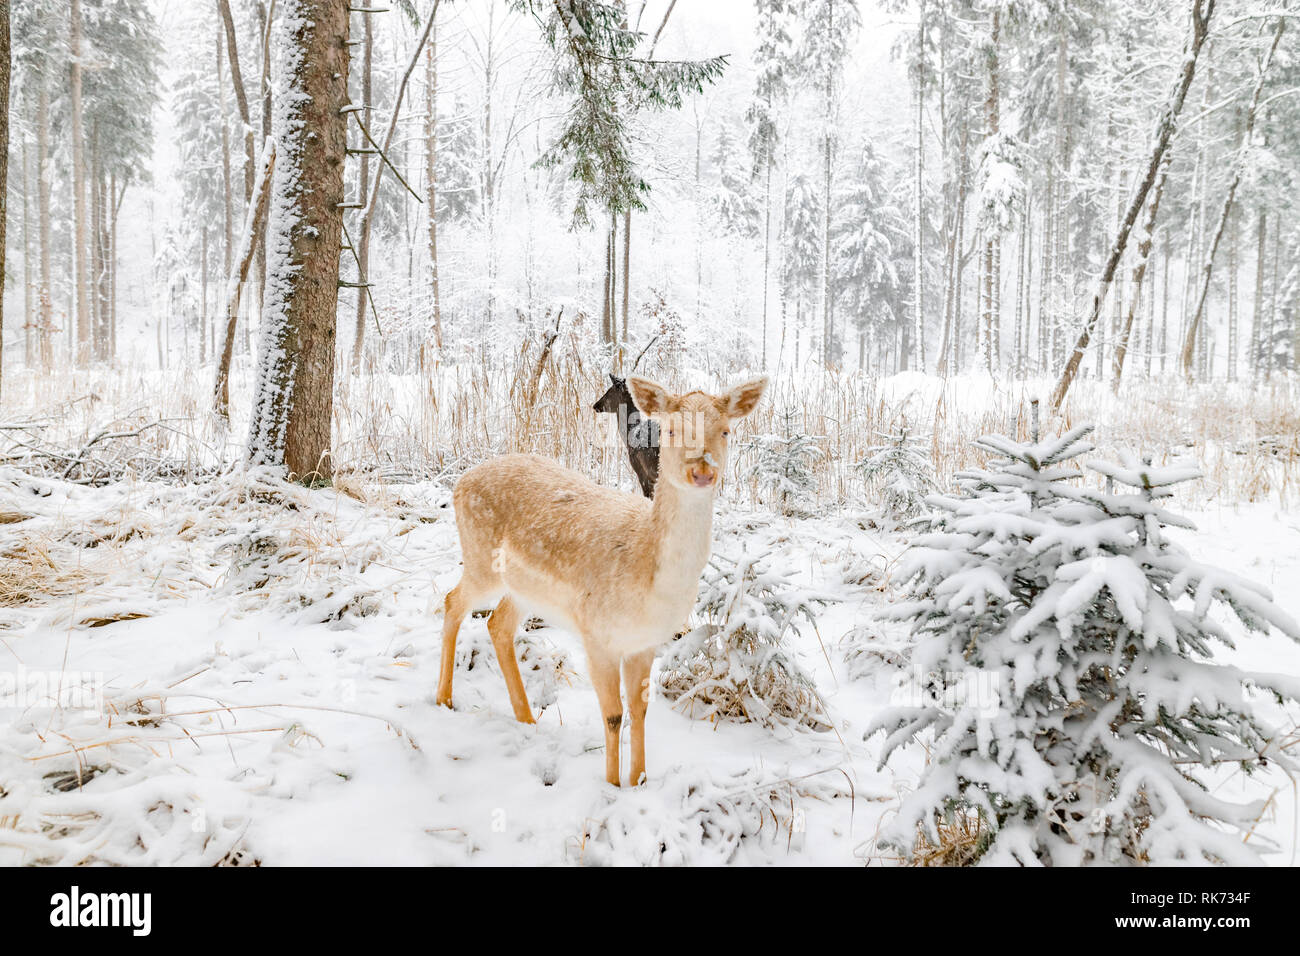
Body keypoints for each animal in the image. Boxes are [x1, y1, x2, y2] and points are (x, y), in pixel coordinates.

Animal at [436, 375, 768, 786]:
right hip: (481, 559)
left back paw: (527, 718)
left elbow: (640, 710)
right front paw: (612, 784)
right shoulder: (596, 633)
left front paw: (640, 779)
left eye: (725, 430)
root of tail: (460, 482)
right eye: (670, 429)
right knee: (452, 601)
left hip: (526, 589)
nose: (702, 472)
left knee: (498, 624)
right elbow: (612, 715)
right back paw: (444, 699)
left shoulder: (644, 642)